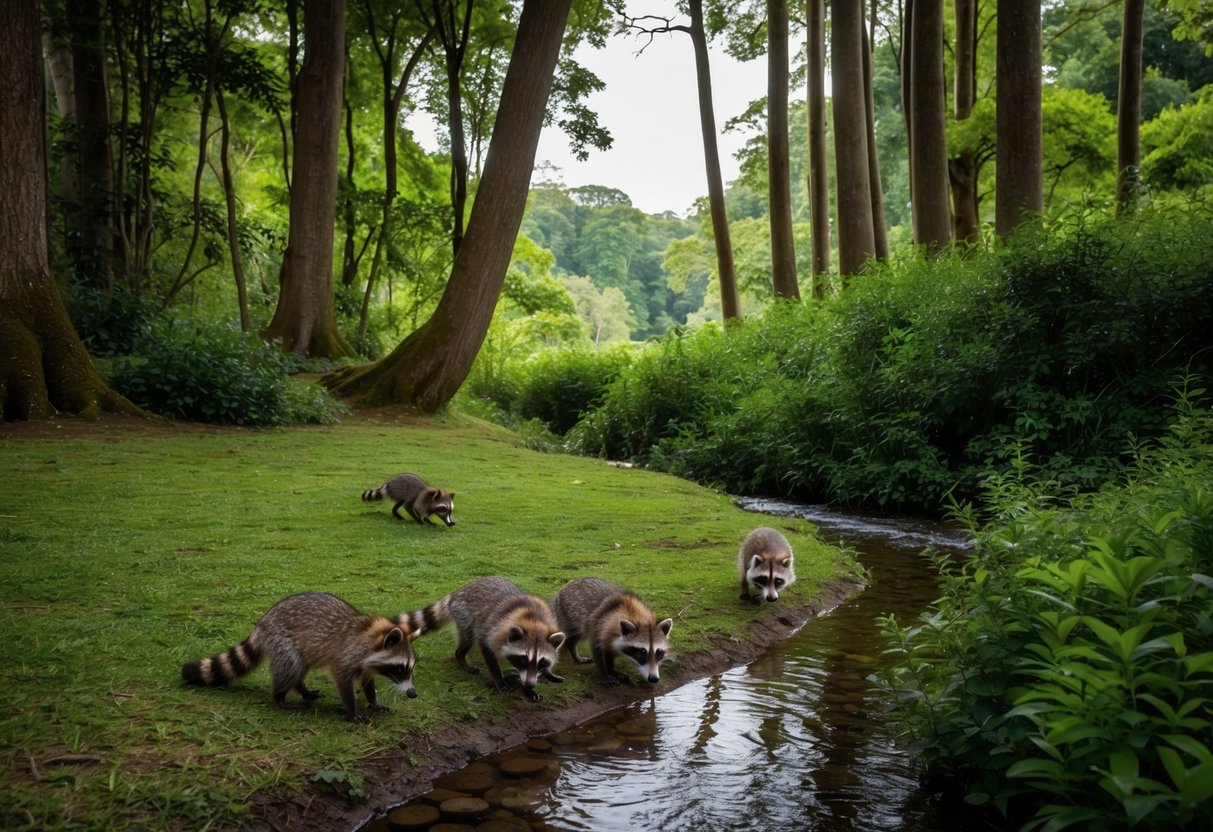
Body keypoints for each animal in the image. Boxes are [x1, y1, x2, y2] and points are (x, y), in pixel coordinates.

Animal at [181, 592, 420, 723]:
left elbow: (368, 681)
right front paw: (352, 711)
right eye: (400, 668)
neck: (372, 637)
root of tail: (262, 622)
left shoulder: (367, 663)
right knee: (291, 667)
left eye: (410, 667)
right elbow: (342, 680)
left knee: (299, 668)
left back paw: (302, 689)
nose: (413, 693)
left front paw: (373, 700)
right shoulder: (348, 655)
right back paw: (279, 695)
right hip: (281, 639)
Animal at [405, 576, 565, 701]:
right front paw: (500, 680)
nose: (530, 684)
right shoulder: (493, 631)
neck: (534, 621)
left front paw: (537, 681)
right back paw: (461, 656)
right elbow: (487, 650)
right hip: (464, 614)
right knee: (469, 637)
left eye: (541, 661)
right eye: (523, 659)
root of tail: (460, 590)